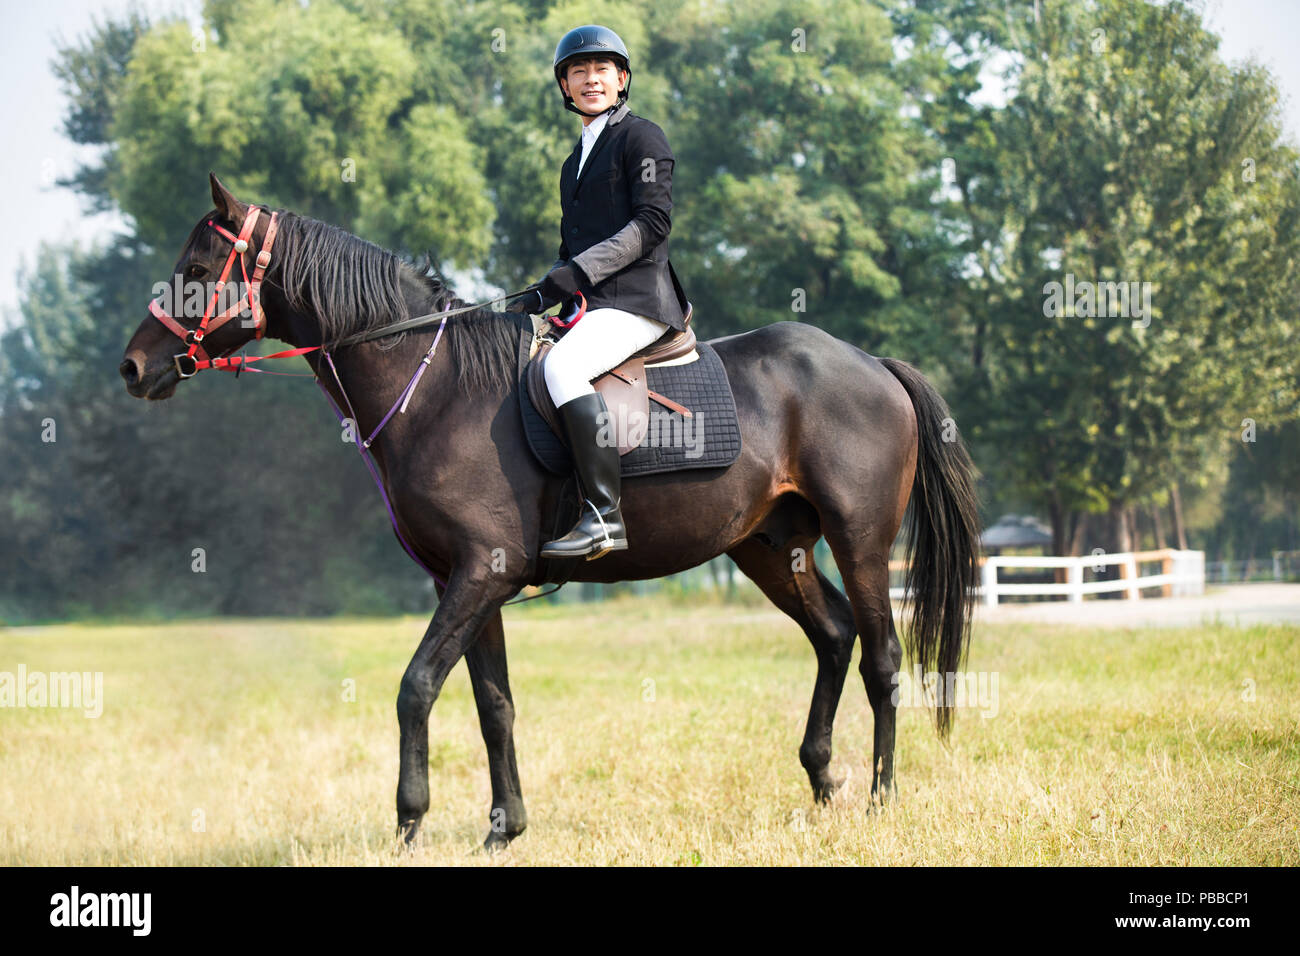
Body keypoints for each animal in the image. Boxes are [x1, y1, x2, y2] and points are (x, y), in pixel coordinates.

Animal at [120, 174, 981, 850]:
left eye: (197, 268)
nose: (132, 367)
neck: (436, 387)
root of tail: (870, 363)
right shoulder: (468, 582)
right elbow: (493, 703)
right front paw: (504, 829)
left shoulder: (481, 574)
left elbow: (416, 686)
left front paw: (409, 823)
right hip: (773, 548)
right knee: (833, 637)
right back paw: (825, 783)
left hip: (860, 541)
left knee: (881, 658)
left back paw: (880, 800)